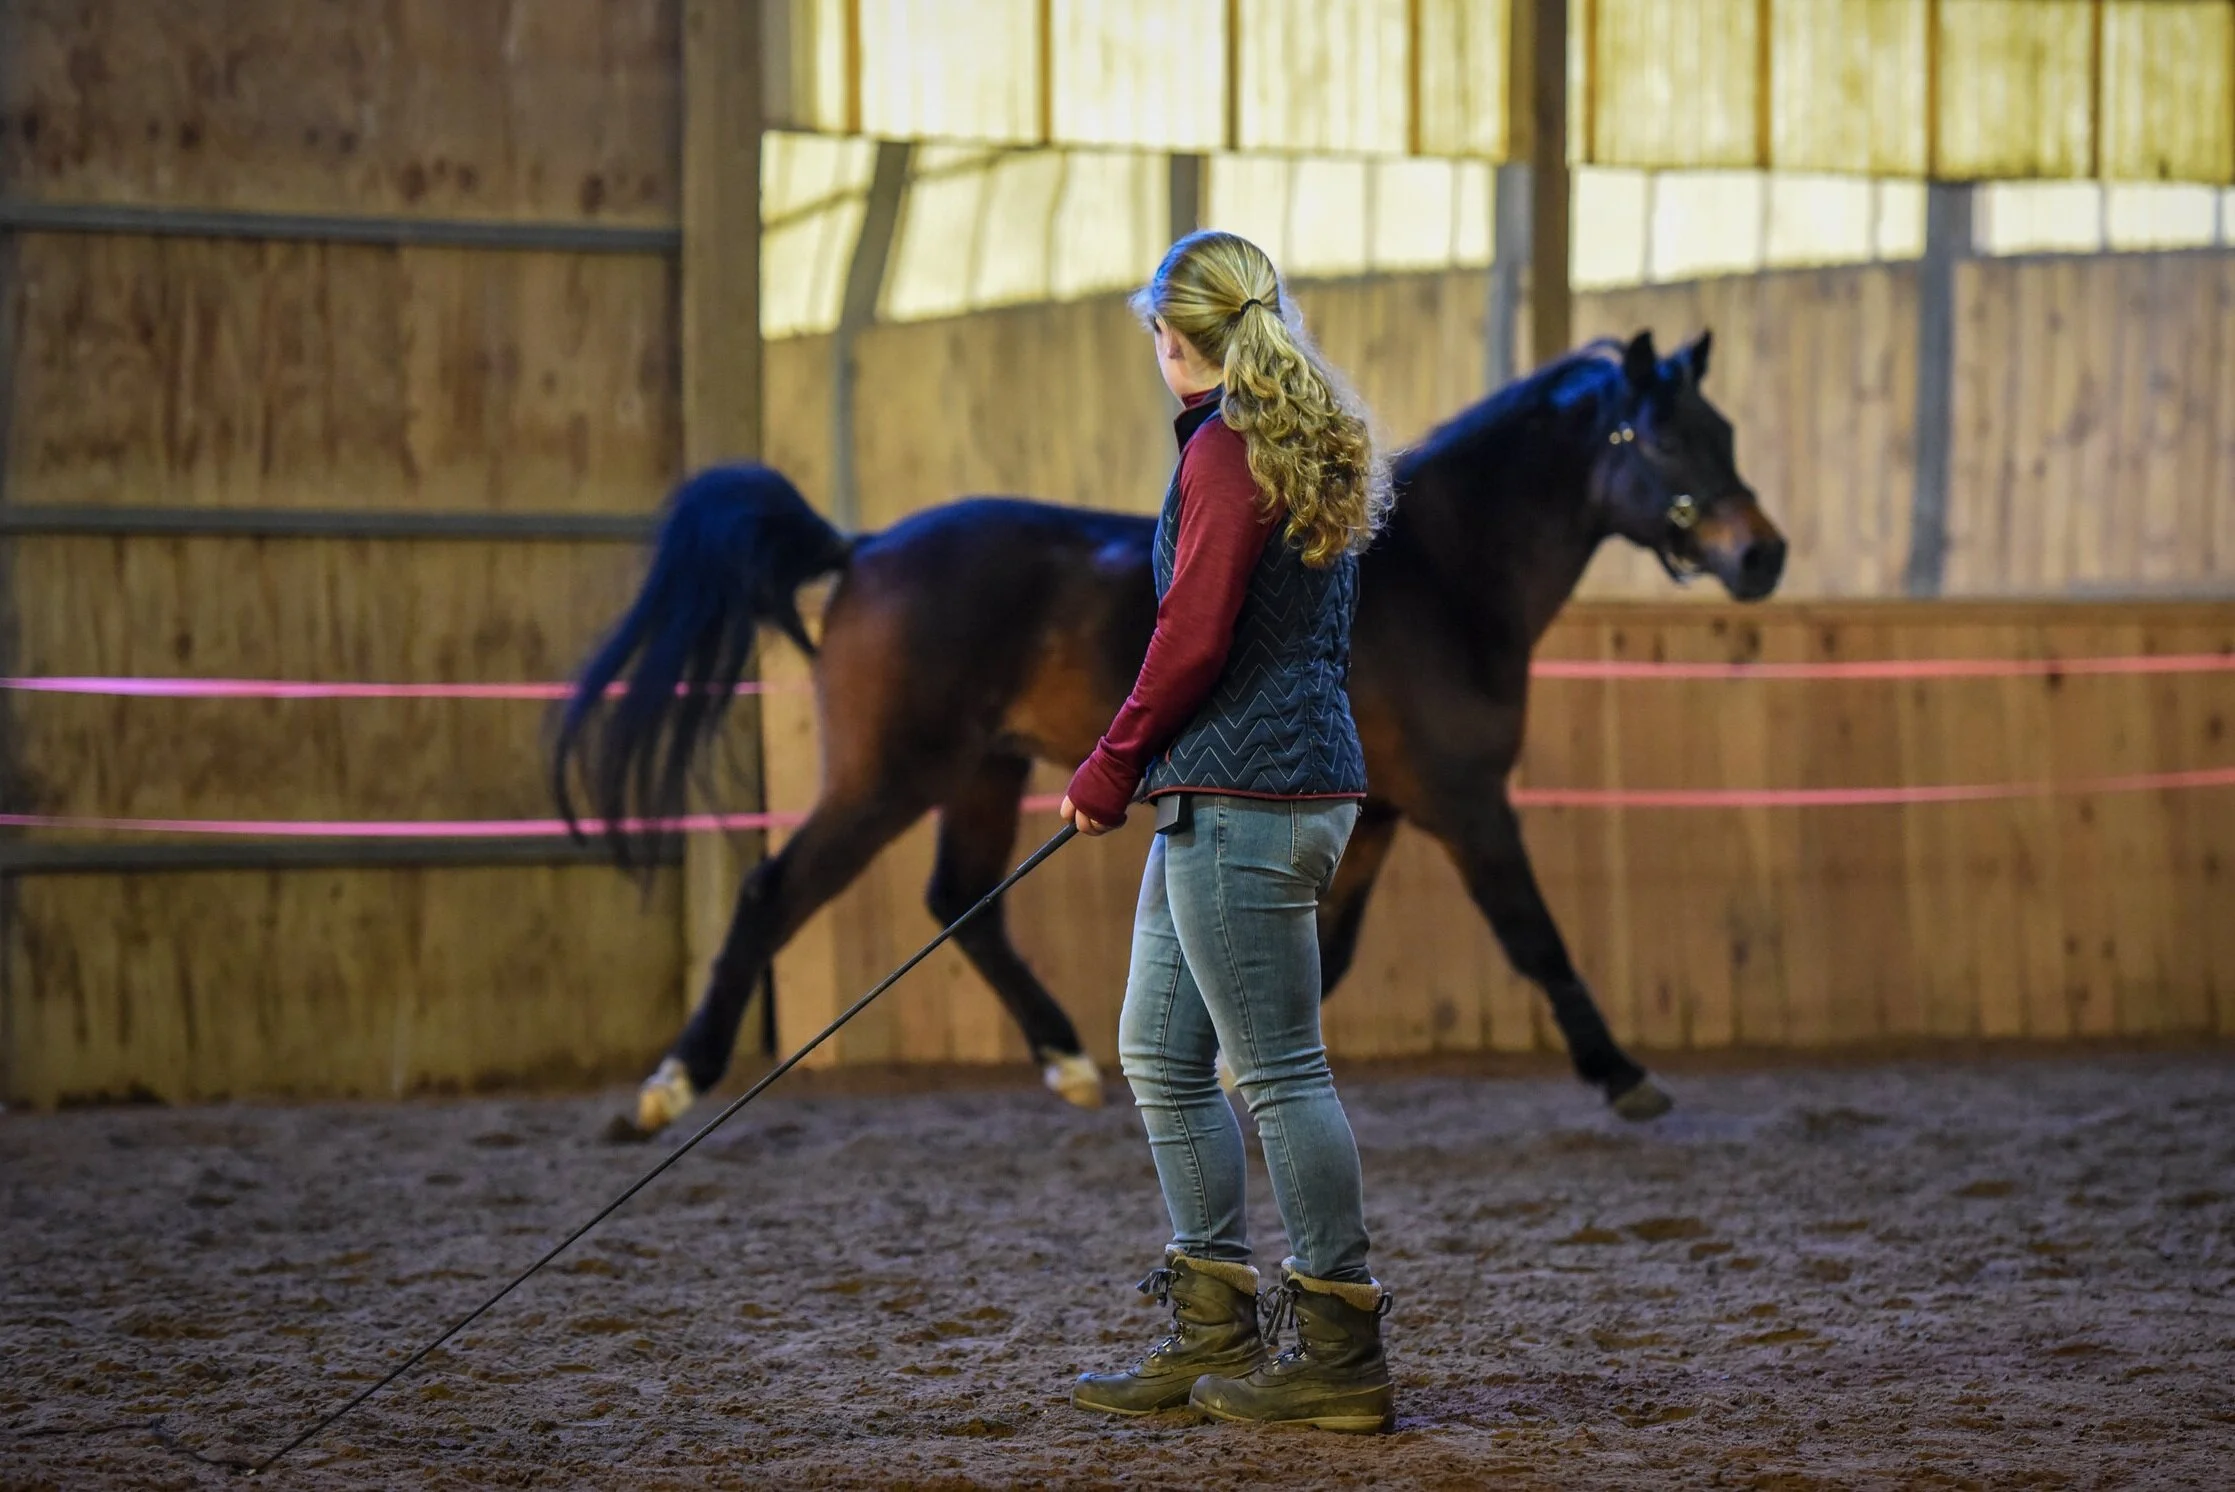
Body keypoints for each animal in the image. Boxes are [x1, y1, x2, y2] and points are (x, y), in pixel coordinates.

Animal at [555, 330, 1786, 1140]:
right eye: (1658, 438)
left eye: (1724, 428)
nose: (1762, 554)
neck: (1438, 573)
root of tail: (861, 548)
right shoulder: (1466, 802)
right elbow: (1535, 937)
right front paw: (1624, 1074)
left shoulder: (1377, 813)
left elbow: (1326, 951)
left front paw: (1241, 1076)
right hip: (886, 776)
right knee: (778, 892)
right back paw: (668, 1087)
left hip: (983, 772)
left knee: (961, 901)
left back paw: (1071, 1066)